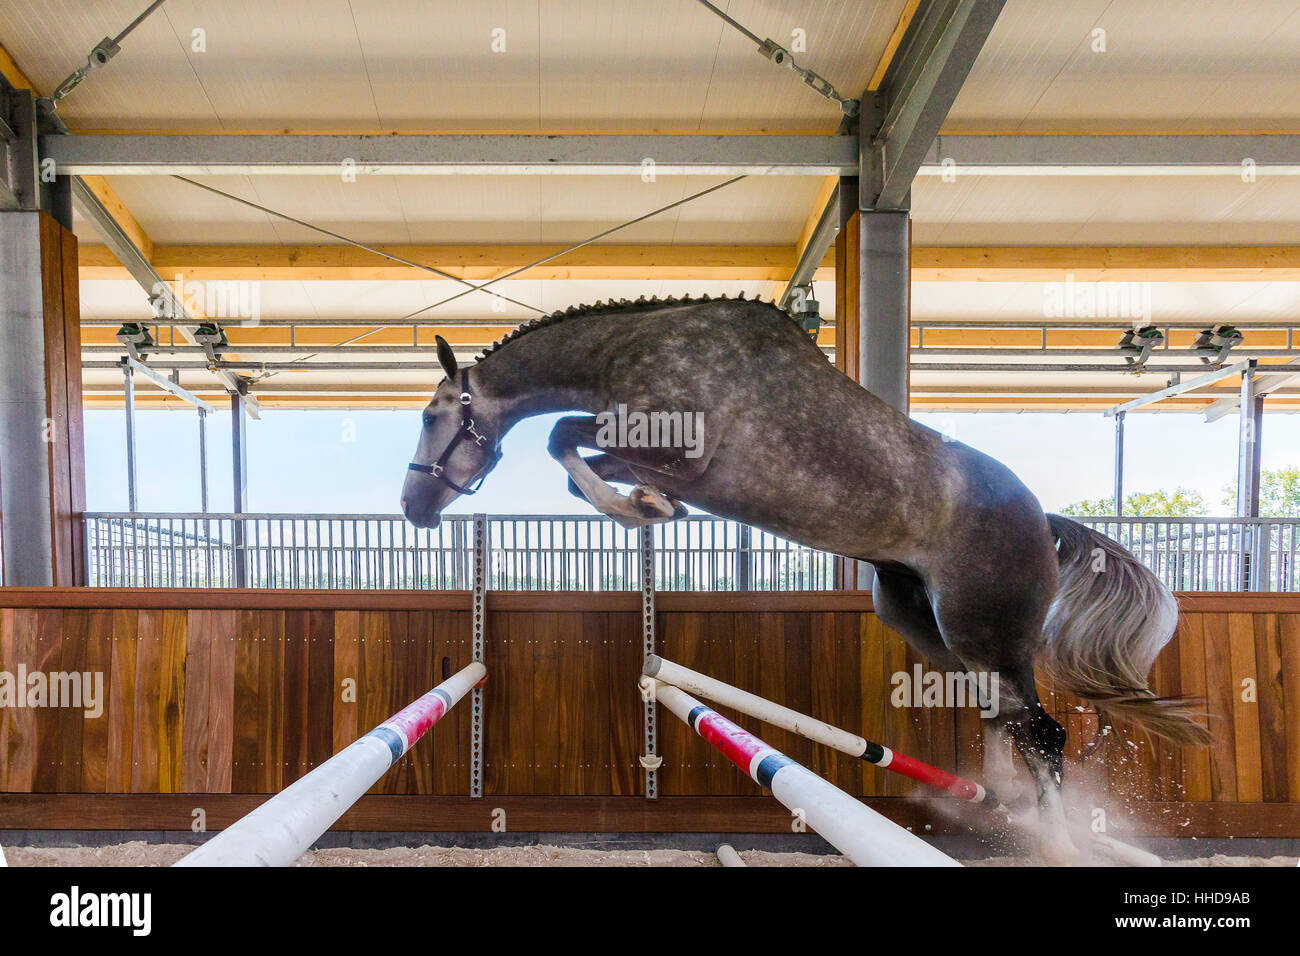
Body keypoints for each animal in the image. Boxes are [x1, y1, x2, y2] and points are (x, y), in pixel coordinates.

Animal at [399, 295, 1210, 863]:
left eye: (433, 416)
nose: (412, 508)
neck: (632, 351)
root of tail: (1042, 520)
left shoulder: (676, 446)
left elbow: (561, 435)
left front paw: (646, 509)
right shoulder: (642, 448)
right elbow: (576, 462)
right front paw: (650, 508)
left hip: (984, 628)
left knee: (1043, 729)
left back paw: (1057, 842)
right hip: (919, 618)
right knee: (997, 714)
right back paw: (1000, 801)